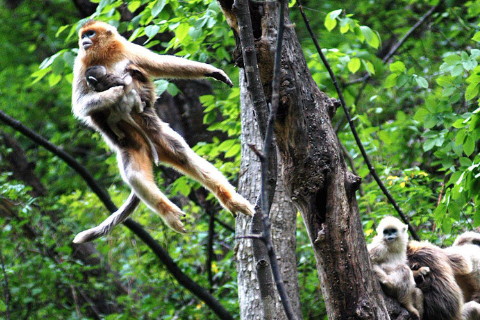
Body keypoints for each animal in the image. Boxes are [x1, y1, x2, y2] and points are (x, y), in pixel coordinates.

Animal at [71, 20, 253, 242]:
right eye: (83, 35)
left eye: (90, 33)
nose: (84, 40)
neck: (104, 55)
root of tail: (152, 150)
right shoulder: (81, 64)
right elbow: (81, 104)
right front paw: (115, 91)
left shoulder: (128, 49)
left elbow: (162, 63)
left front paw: (213, 72)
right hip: (134, 144)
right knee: (135, 175)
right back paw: (170, 214)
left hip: (157, 134)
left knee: (184, 156)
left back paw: (231, 200)